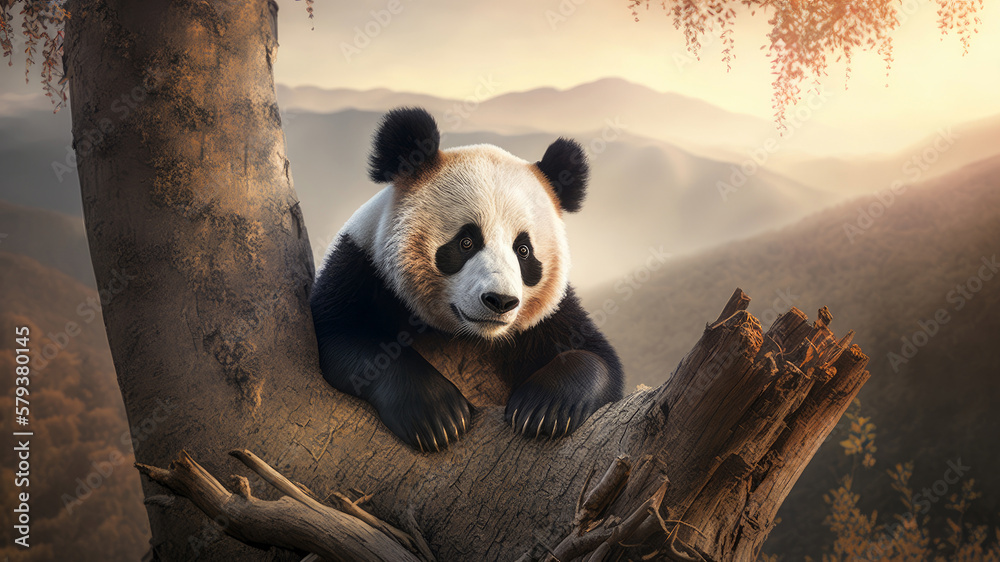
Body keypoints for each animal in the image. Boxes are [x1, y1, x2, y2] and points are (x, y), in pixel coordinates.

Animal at [310, 107, 624, 452]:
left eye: (523, 250)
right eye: (466, 242)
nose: (500, 301)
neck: (469, 337)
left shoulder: (549, 317)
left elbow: (596, 358)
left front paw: (544, 409)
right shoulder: (362, 270)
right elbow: (344, 338)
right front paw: (437, 415)